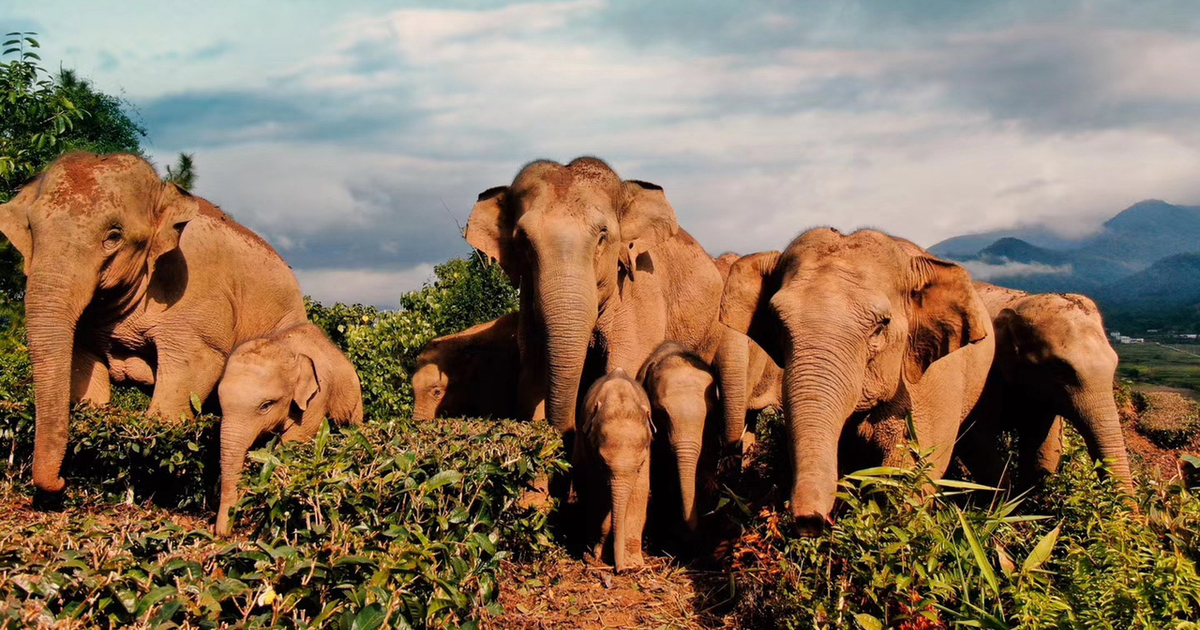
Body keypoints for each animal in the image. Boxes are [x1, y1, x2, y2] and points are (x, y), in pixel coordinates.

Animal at [0, 152, 307, 493]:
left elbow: (194, 365)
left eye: (114, 236)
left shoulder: (195, 291)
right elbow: (83, 367)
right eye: (31, 229)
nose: (60, 481)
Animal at [216, 323, 363, 536]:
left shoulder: (318, 396)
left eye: (266, 405)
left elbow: (299, 434)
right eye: (220, 405)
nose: (222, 533)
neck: (286, 348)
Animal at [464, 157, 745, 449]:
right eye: (523, 241)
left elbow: (622, 368)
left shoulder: (639, 293)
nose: (567, 434)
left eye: (602, 235)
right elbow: (532, 376)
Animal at [573, 368, 653, 572]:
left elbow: (640, 489)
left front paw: (633, 562)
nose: (620, 570)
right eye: (602, 463)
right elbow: (598, 492)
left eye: (640, 465)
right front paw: (600, 555)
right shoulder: (590, 449)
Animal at [954, 283, 1133, 493]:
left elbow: (1043, 453)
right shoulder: (980, 374)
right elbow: (974, 440)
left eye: (1115, 363)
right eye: (1059, 370)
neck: (1017, 303)